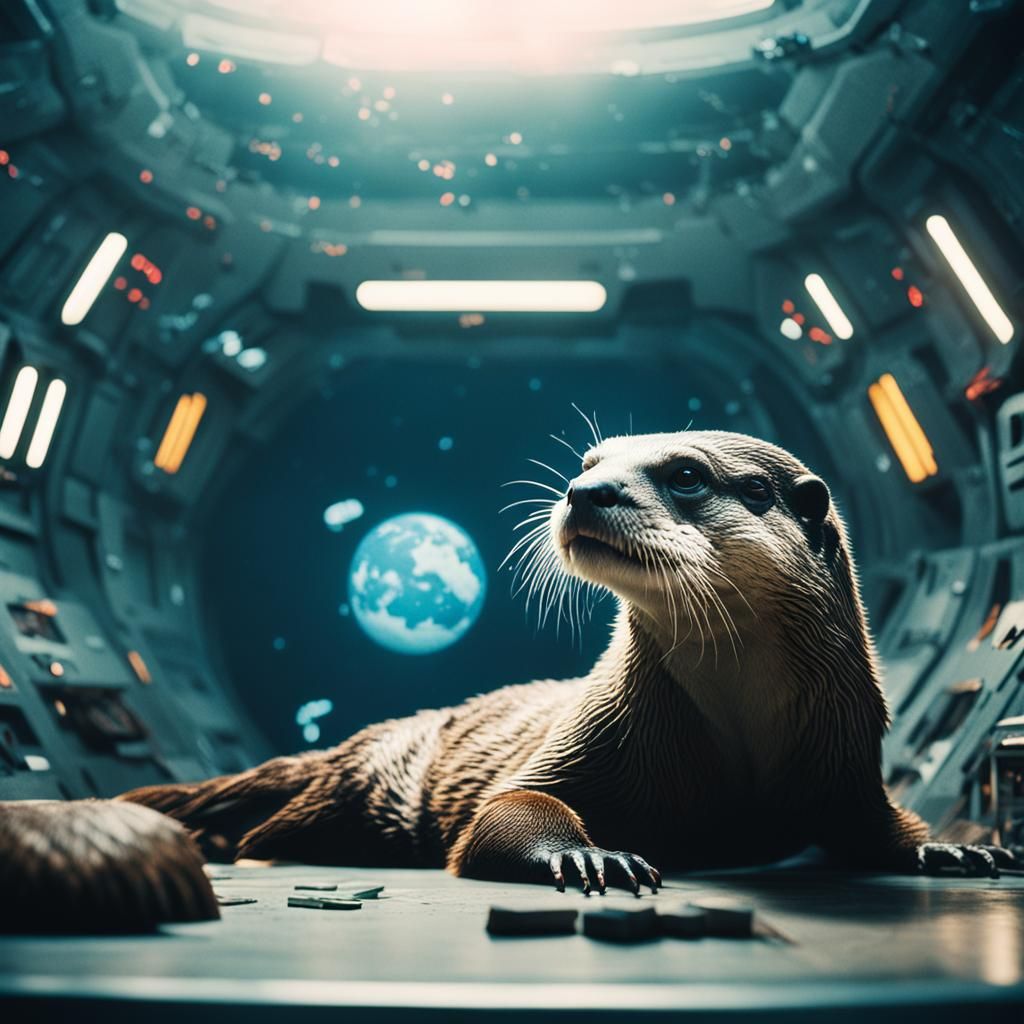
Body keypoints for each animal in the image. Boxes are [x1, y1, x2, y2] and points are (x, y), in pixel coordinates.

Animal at [0, 429, 1014, 924]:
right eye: (589, 462)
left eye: (686, 474)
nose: (585, 493)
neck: (742, 740)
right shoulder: (596, 739)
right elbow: (510, 808)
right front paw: (588, 854)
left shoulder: (842, 755)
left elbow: (876, 826)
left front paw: (954, 850)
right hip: (358, 794)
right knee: (269, 825)